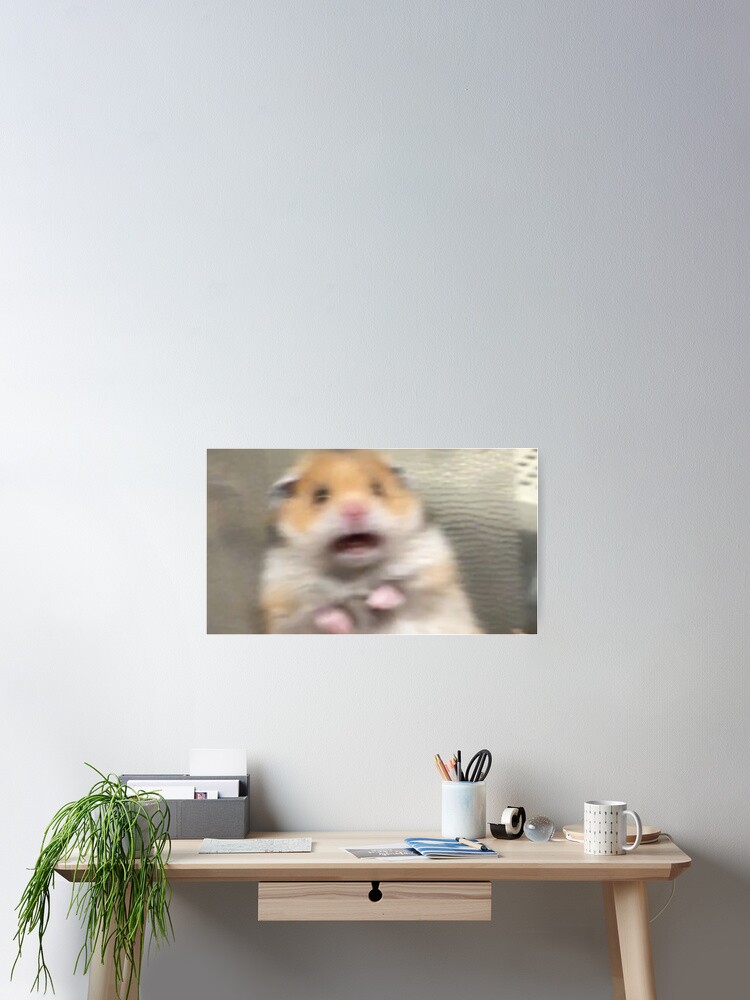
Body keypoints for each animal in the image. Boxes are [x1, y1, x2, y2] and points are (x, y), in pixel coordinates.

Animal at [260, 450, 482, 634]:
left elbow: (400, 587)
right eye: (320, 495)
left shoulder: (433, 569)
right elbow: (319, 612)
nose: (355, 510)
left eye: (378, 489)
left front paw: (376, 602)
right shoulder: (283, 600)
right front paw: (344, 626)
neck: (356, 572)